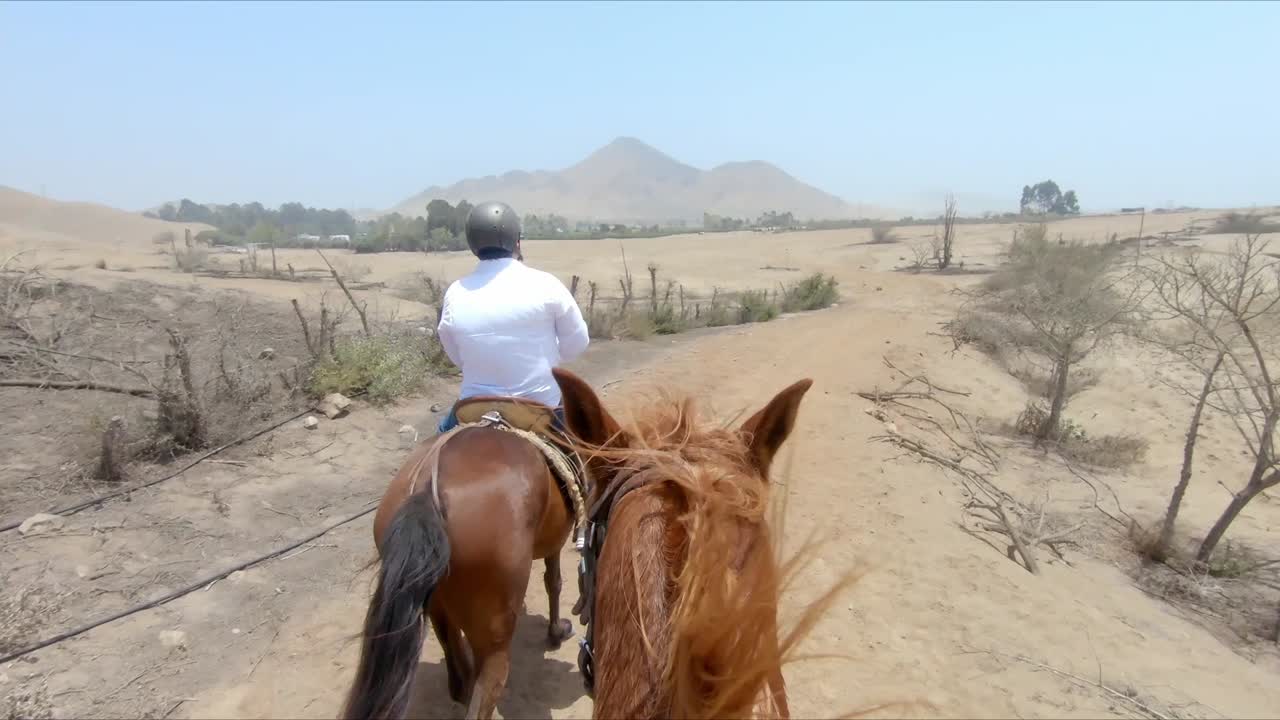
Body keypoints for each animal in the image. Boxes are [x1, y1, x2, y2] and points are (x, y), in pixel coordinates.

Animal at [341, 397, 582, 720]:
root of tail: (428, 489)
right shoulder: (554, 543)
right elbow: (553, 583)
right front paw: (557, 632)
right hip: (493, 635)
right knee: (485, 690)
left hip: (438, 607)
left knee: (459, 679)